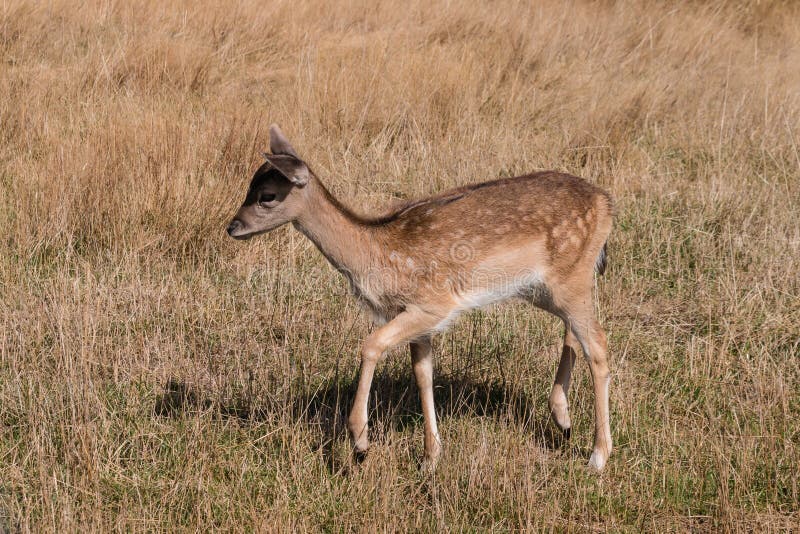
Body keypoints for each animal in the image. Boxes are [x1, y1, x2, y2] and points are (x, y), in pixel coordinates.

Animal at [226, 125, 614, 471]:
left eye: (267, 195)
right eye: (249, 186)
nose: (232, 227)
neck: (377, 253)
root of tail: (606, 203)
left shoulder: (433, 303)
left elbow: (371, 345)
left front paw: (360, 443)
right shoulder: (418, 317)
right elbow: (423, 373)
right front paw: (430, 458)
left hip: (570, 277)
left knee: (597, 343)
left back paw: (597, 457)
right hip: (548, 286)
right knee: (576, 331)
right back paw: (563, 419)